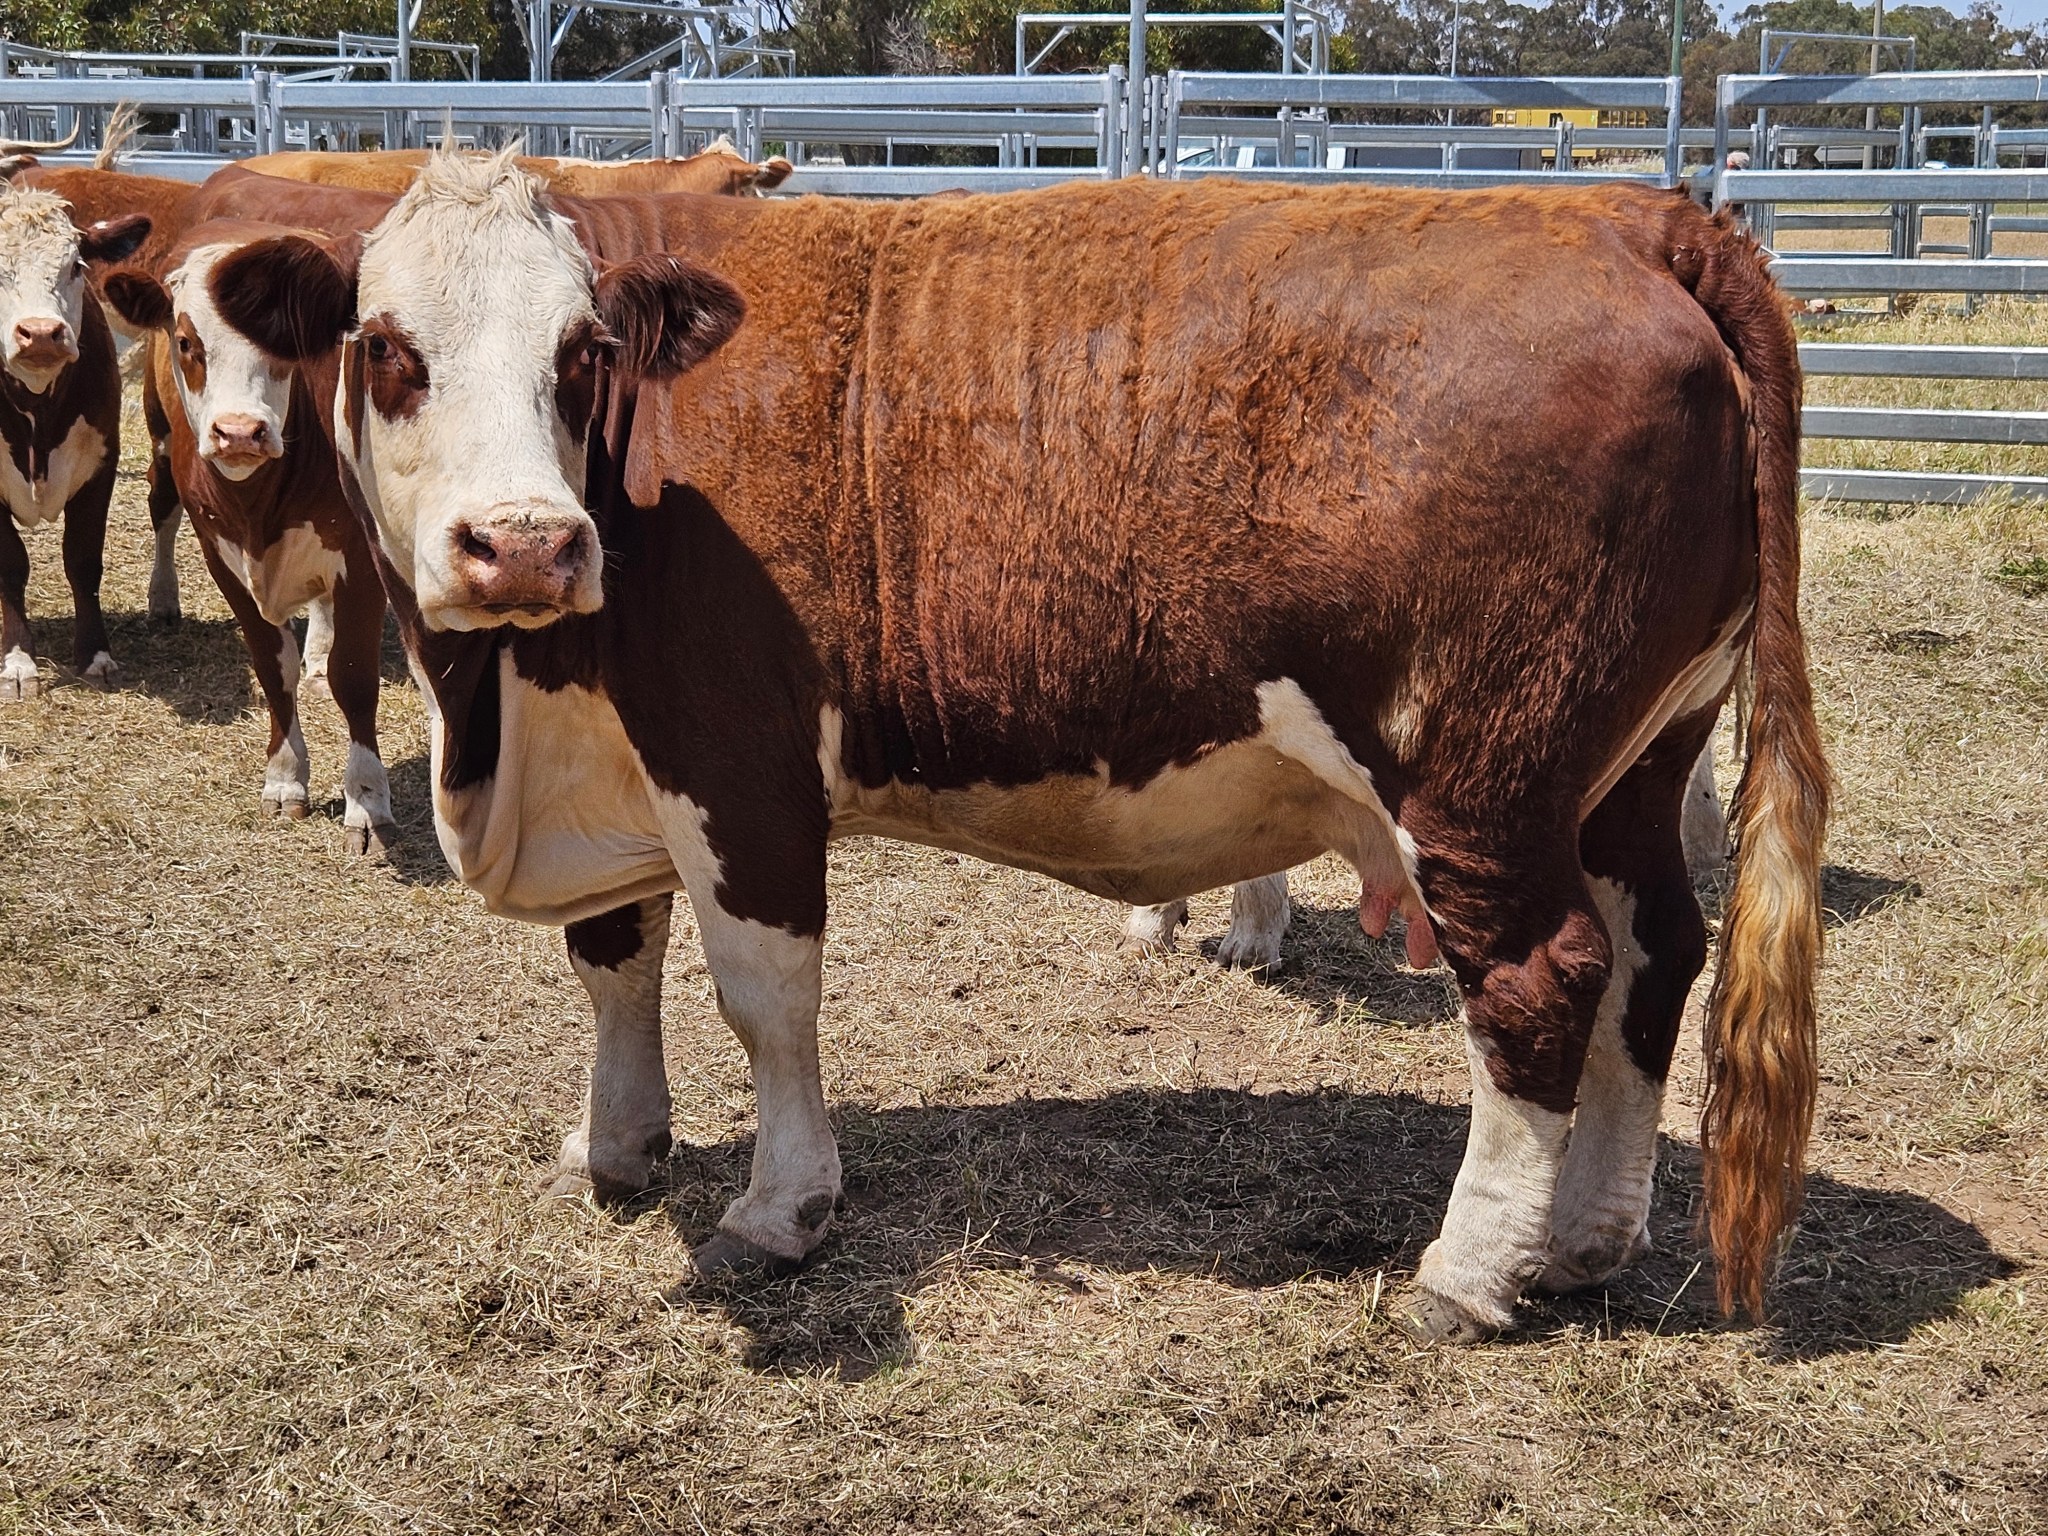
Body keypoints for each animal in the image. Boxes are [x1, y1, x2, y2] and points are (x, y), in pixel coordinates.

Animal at [0, 186, 149, 699]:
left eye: (76, 267)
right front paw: (17, 660)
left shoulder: (99, 468)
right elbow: (12, 566)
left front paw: (96, 656)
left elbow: (83, 561)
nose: (41, 334)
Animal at [209, 153, 1827, 1341]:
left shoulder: (739, 765)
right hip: (1631, 770)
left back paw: (1469, 1274)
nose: (527, 545)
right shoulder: (612, 765)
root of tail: (1630, 218)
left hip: (1481, 781)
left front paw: (777, 1211)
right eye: (387, 348)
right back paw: (1584, 1244)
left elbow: (762, 1000)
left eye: (583, 349)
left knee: (1543, 981)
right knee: (1653, 960)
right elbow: (614, 964)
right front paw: (614, 1148)